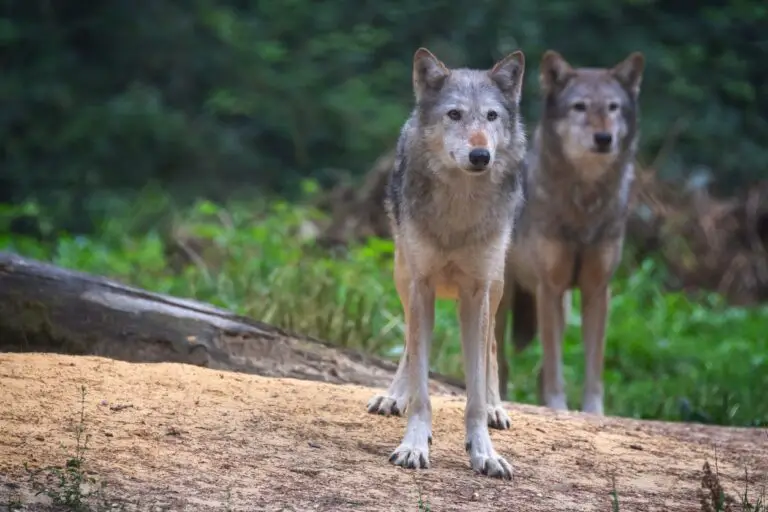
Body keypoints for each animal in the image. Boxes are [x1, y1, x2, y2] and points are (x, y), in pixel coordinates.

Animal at [365, 47, 527, 479]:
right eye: (454, 114)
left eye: (491, 116)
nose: (480, 155)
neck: (459, 209)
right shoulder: (422, 285)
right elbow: (422, 385)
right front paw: (414, 445)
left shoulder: (477, 291)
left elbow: (474, 391)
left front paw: (484, 452)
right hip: (403, 276)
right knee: (409, 343)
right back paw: (393, 397)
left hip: (496, 286)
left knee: (491, 347)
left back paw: (496, 408)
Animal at [493, 50, 645, 414]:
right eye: (579, 107)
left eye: (613, 107)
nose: (603, 138)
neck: (584, 207)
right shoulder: (550, 287)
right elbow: (553, 364)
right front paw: (558, 407)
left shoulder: (596, 290)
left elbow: (593, 366)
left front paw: (593, 413)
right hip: (505, 297)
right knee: (499, 359)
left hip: (560, 305)